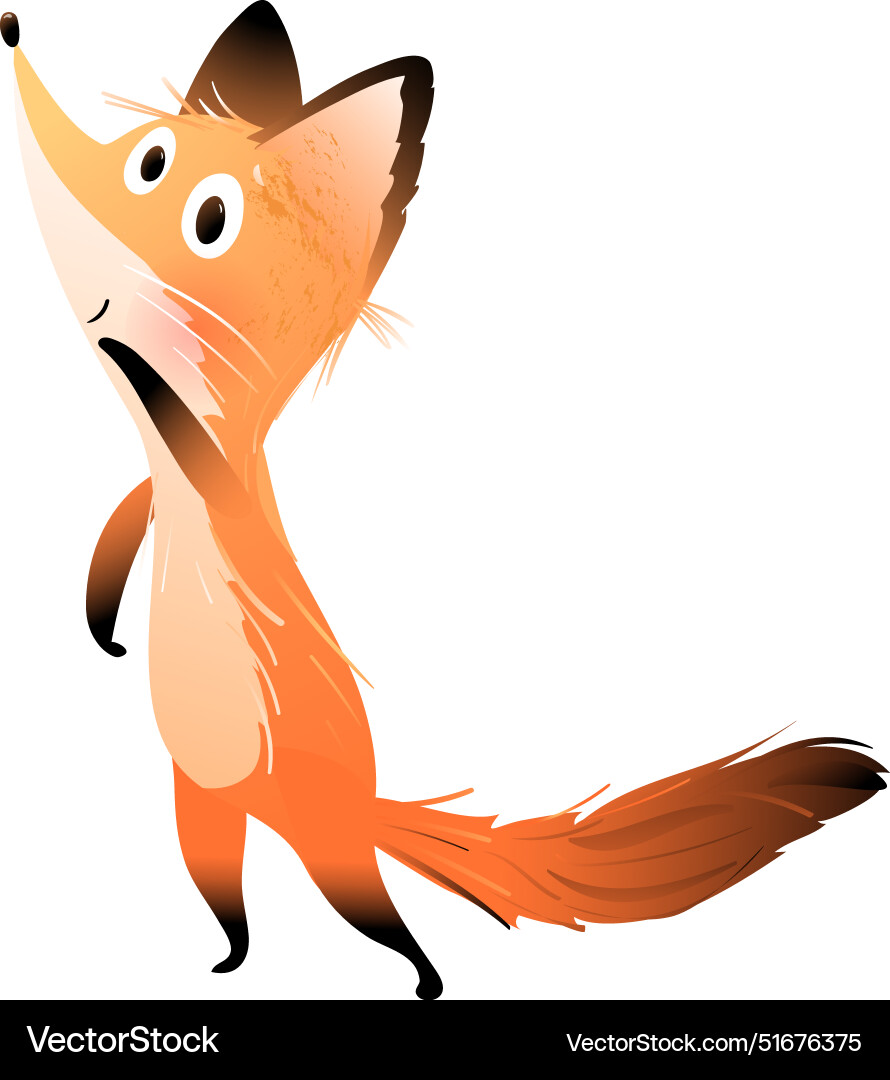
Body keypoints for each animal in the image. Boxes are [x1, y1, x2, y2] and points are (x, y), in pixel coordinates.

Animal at [2, 2, 885, 1000]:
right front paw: (102, 622)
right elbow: (120, 525)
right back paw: (231, 958)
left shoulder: (207, 457)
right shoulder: (148, 487)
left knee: (382, 919)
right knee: (231, 899)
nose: (14, 31)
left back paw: (421, 978)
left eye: (207, 217)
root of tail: (359, 801)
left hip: (325, 850)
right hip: (202, 811)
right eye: (147, 156)